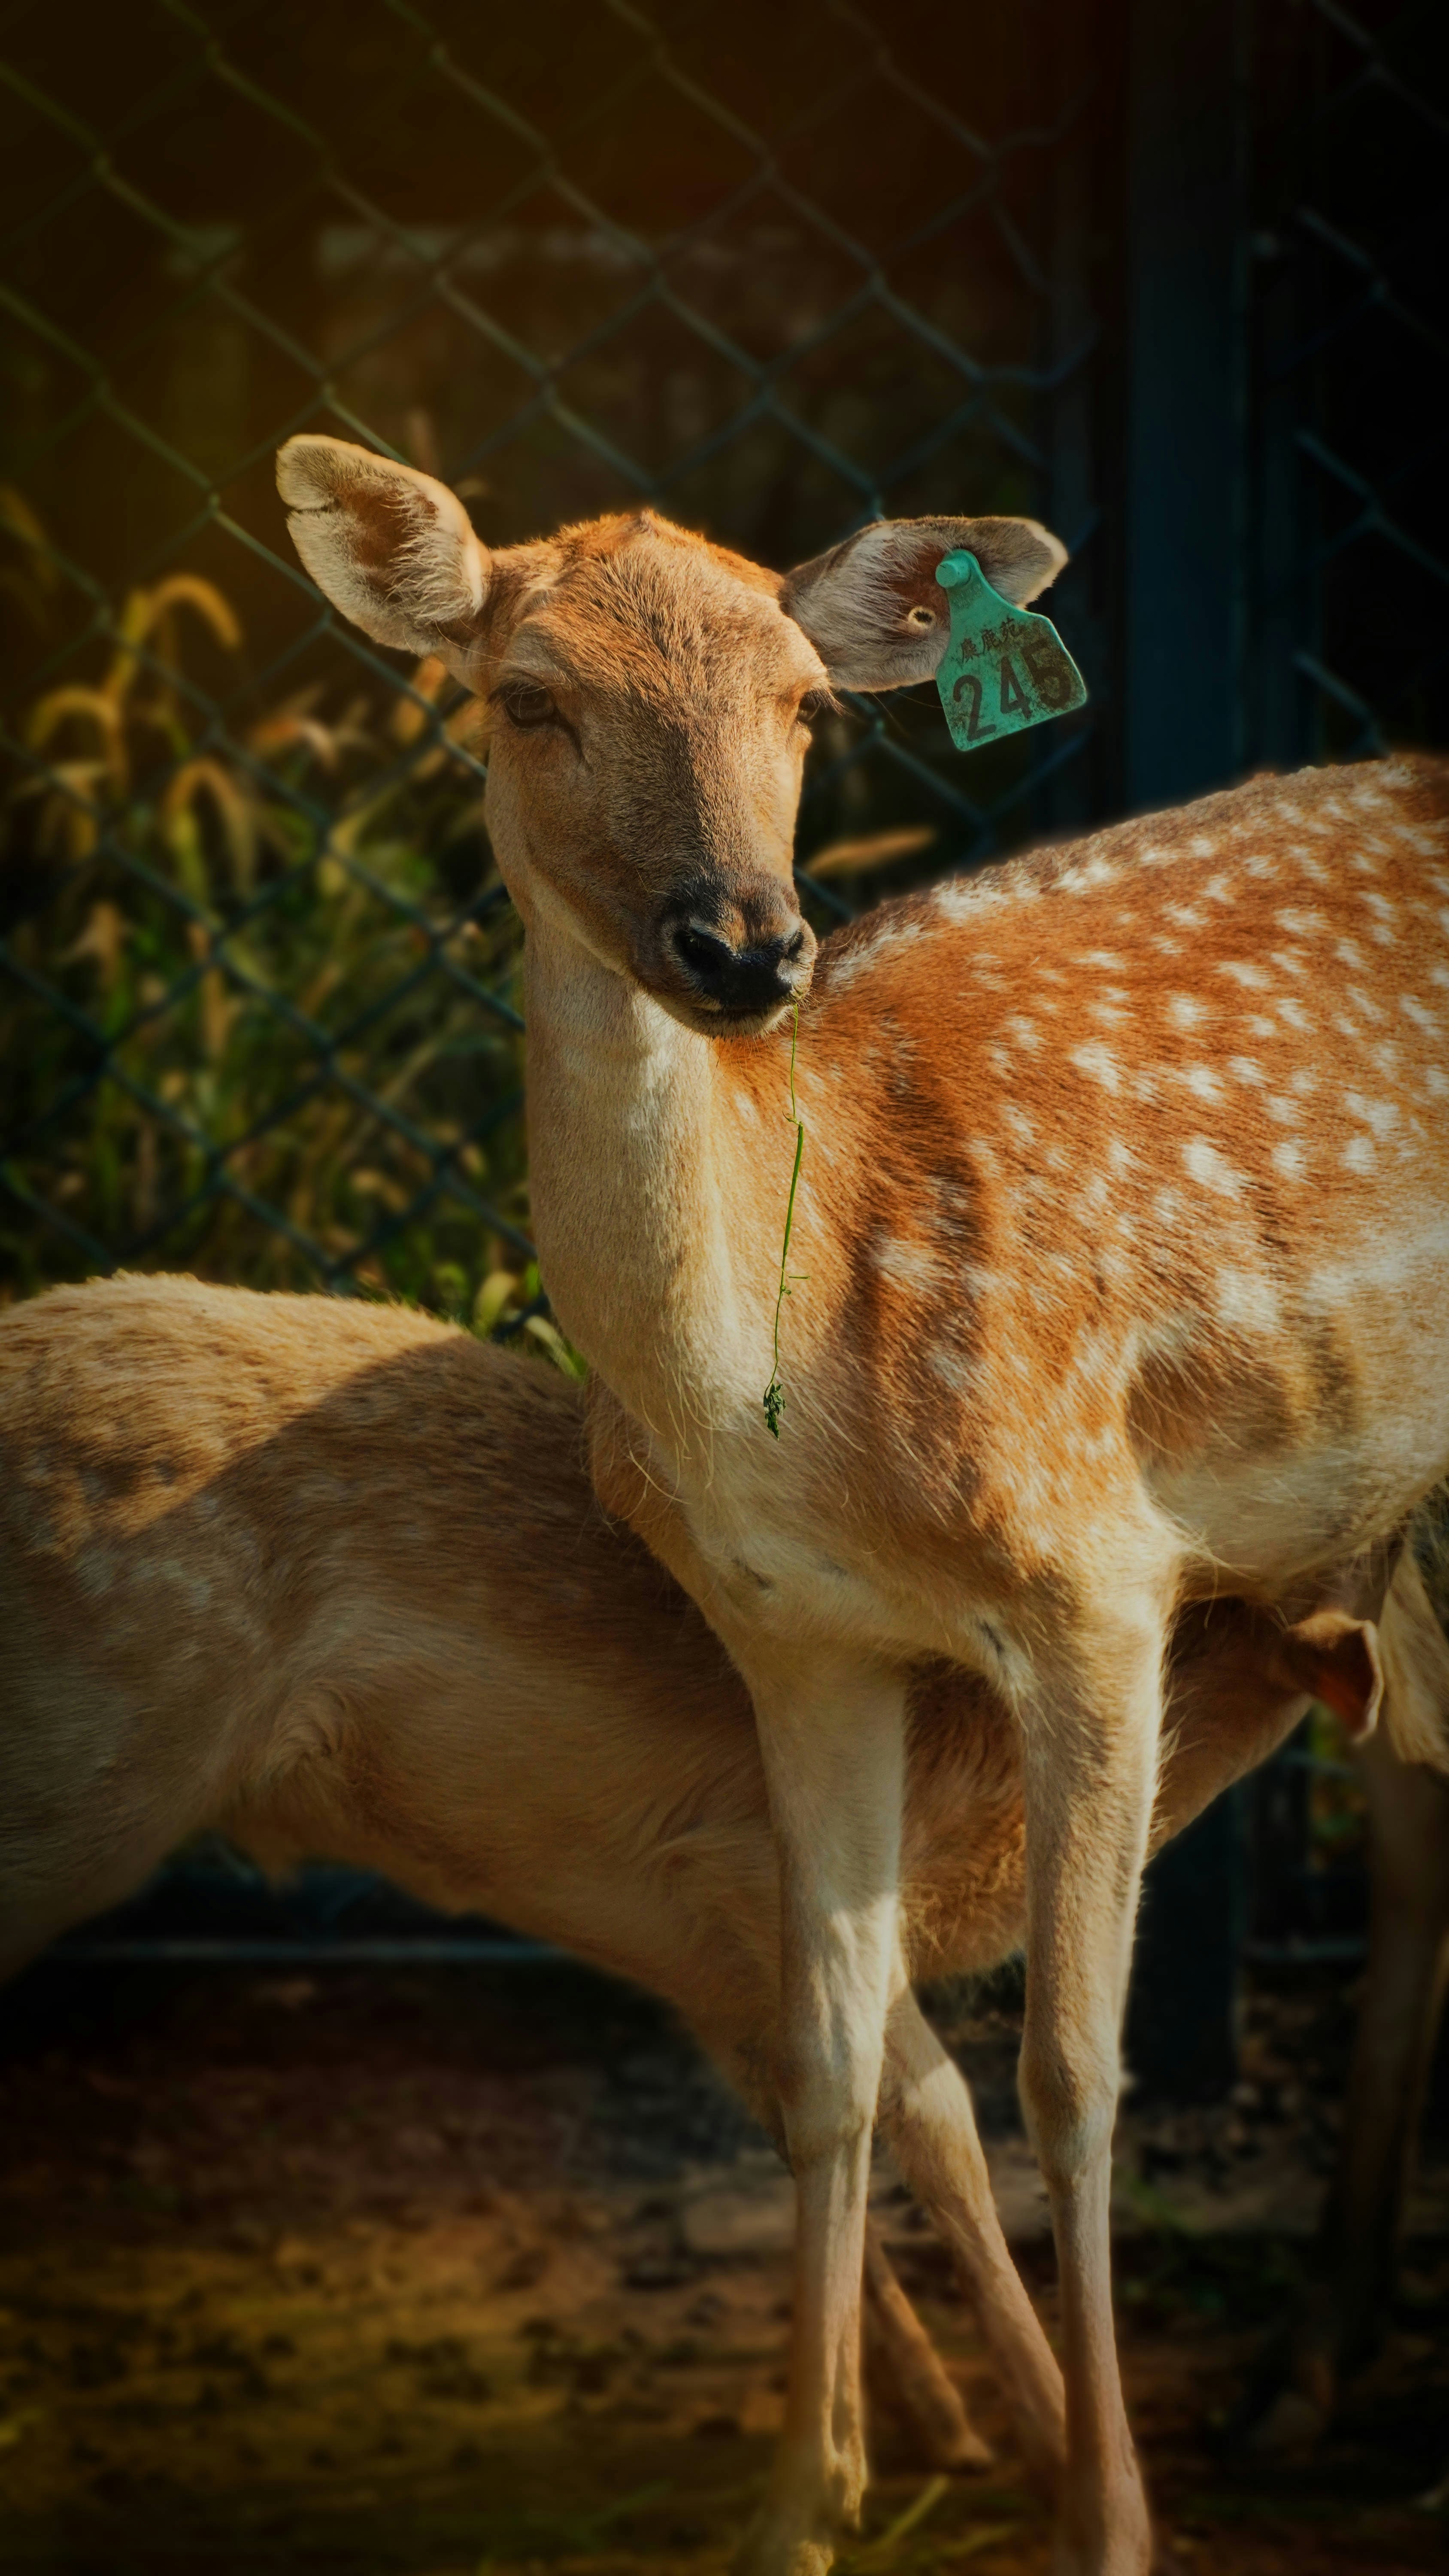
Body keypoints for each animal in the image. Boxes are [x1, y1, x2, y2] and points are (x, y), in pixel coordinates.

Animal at [3, 1273, 1423, 2504]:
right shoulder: (751, 1871)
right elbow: (936, 2115)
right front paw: (1026, 2436)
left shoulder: (707, 1961)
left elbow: (811, 2116)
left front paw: (925, 2424)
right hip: (87, 1781)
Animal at [277, 429, 1449, 2576]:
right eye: (527, 696)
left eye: (807, 708)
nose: (743, 946)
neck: (788, 1379)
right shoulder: (792, 1640)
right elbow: (834, 2056)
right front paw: (797, 2505)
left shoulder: (1097, 1571)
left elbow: (1070, 2073)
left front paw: (1106, 2522)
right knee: (1415, 1816)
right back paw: (1304, 2364)